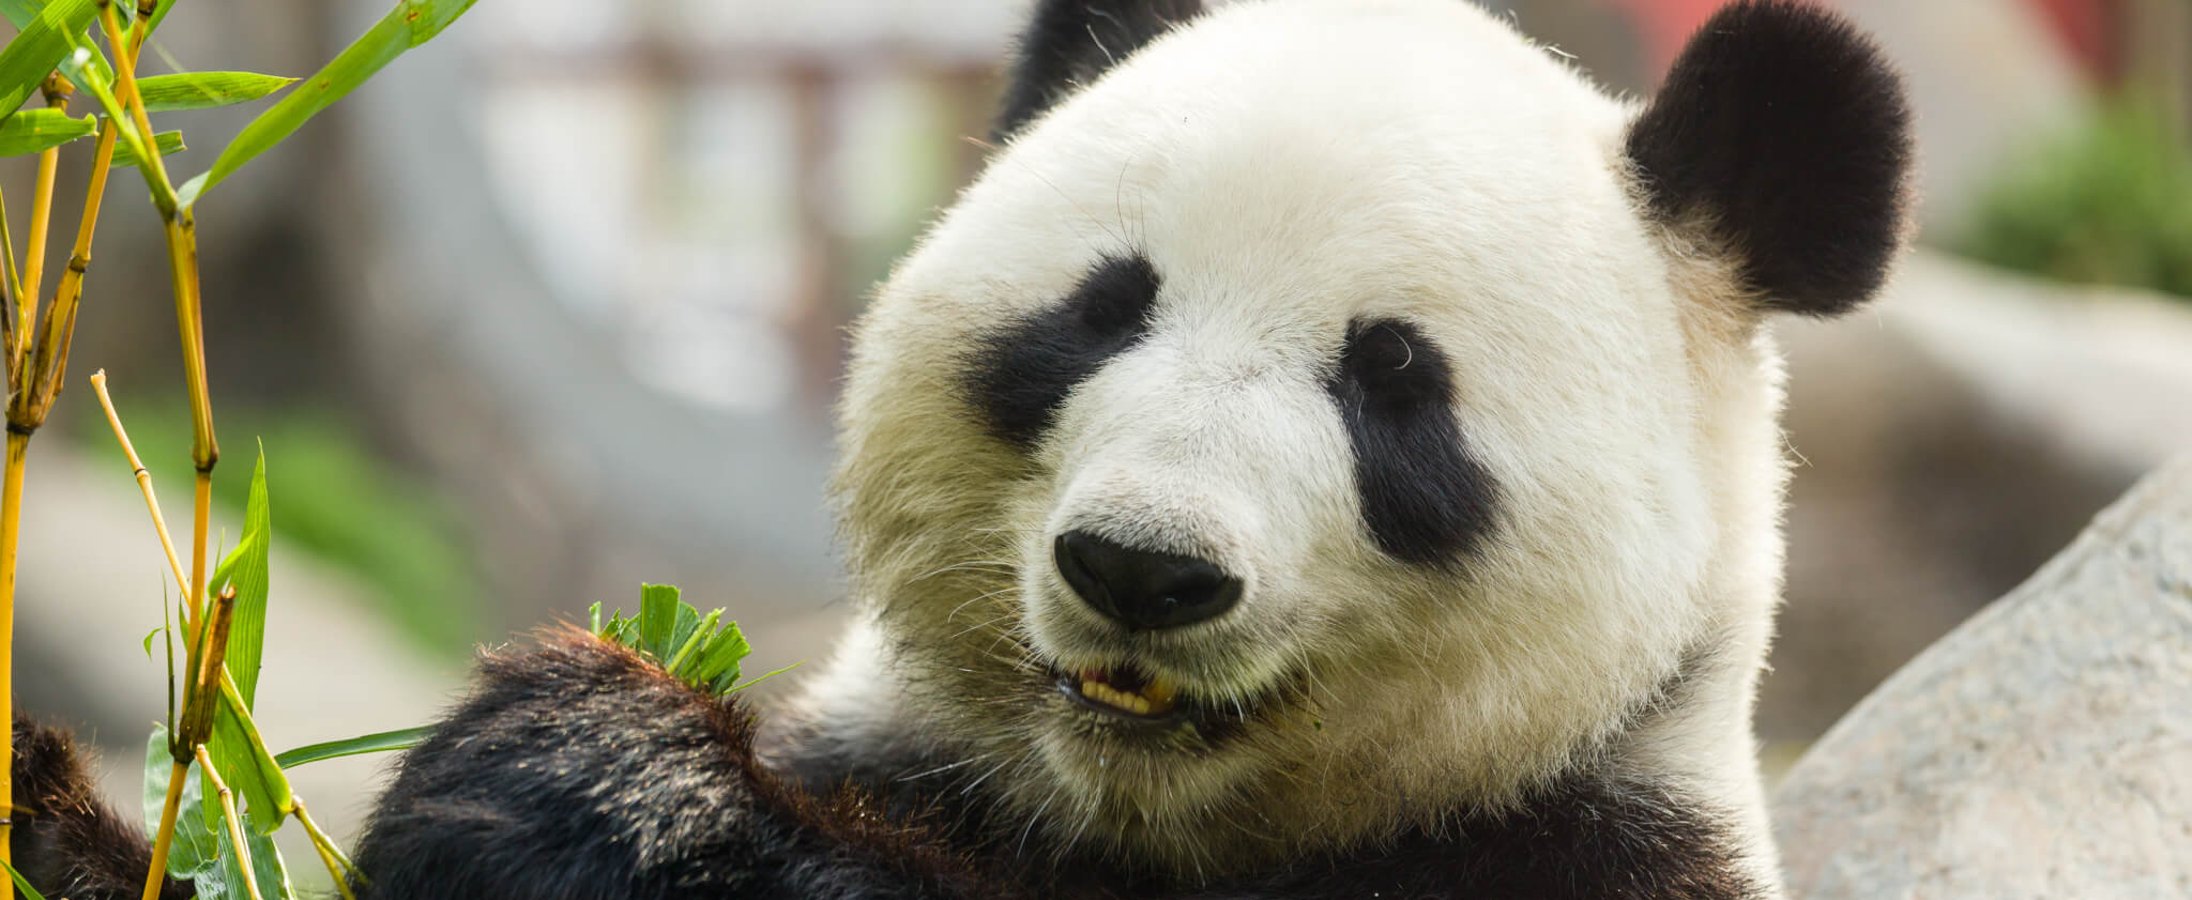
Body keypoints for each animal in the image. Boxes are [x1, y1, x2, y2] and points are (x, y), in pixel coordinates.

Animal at [9, 0, 1910, 897]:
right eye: (1103, 310)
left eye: (1391, 384)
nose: (1144, 569)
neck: (1136, 826)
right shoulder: (911, 762)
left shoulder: (1564, 860)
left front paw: (594, 778)